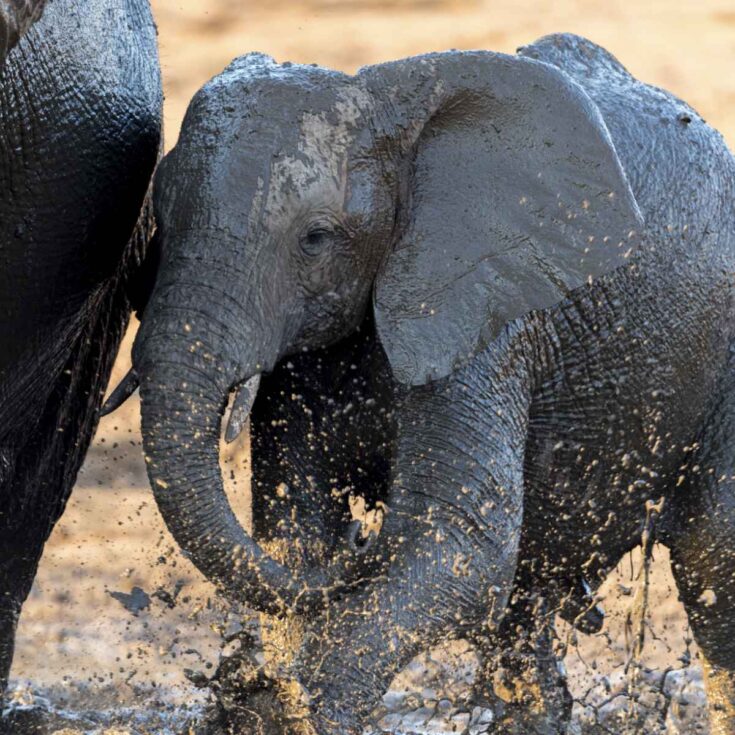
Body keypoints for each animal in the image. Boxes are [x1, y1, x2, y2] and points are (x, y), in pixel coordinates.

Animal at [119, 32, 735, 734]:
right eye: (159, 221)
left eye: (315, 238)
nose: (364, 539)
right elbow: (297, 524)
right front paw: (268, 693)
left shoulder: (485, 316)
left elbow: (461, 538)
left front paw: (298, 706)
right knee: (526, 609)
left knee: (714, 563)